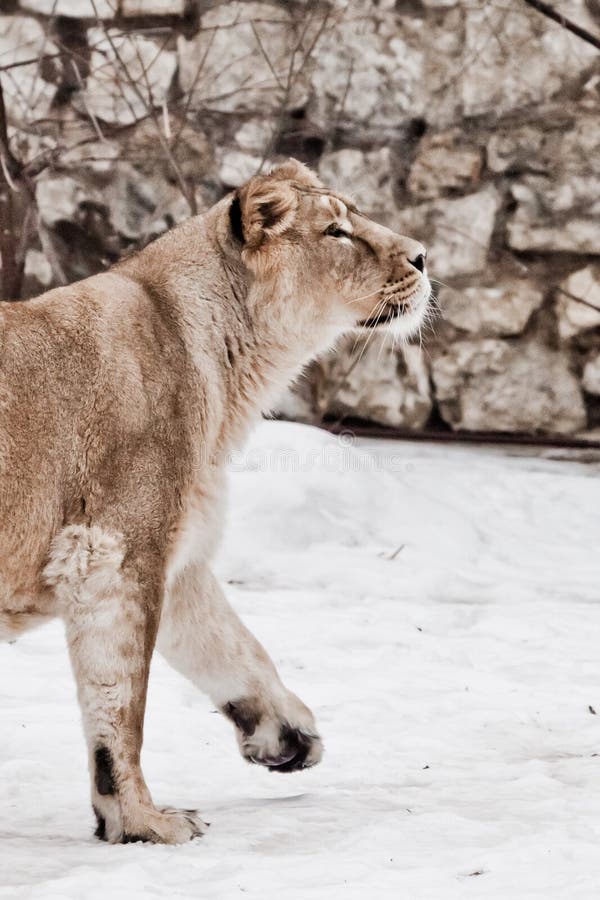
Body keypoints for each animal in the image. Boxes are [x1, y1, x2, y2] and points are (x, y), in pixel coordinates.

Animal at [0, 159, 429, 843]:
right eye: (337, 230)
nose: (421, 256)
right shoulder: (114, 553)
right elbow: (122, 703)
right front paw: (144, 821)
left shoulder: (178, 557)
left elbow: (234, 645)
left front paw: (289, 736)